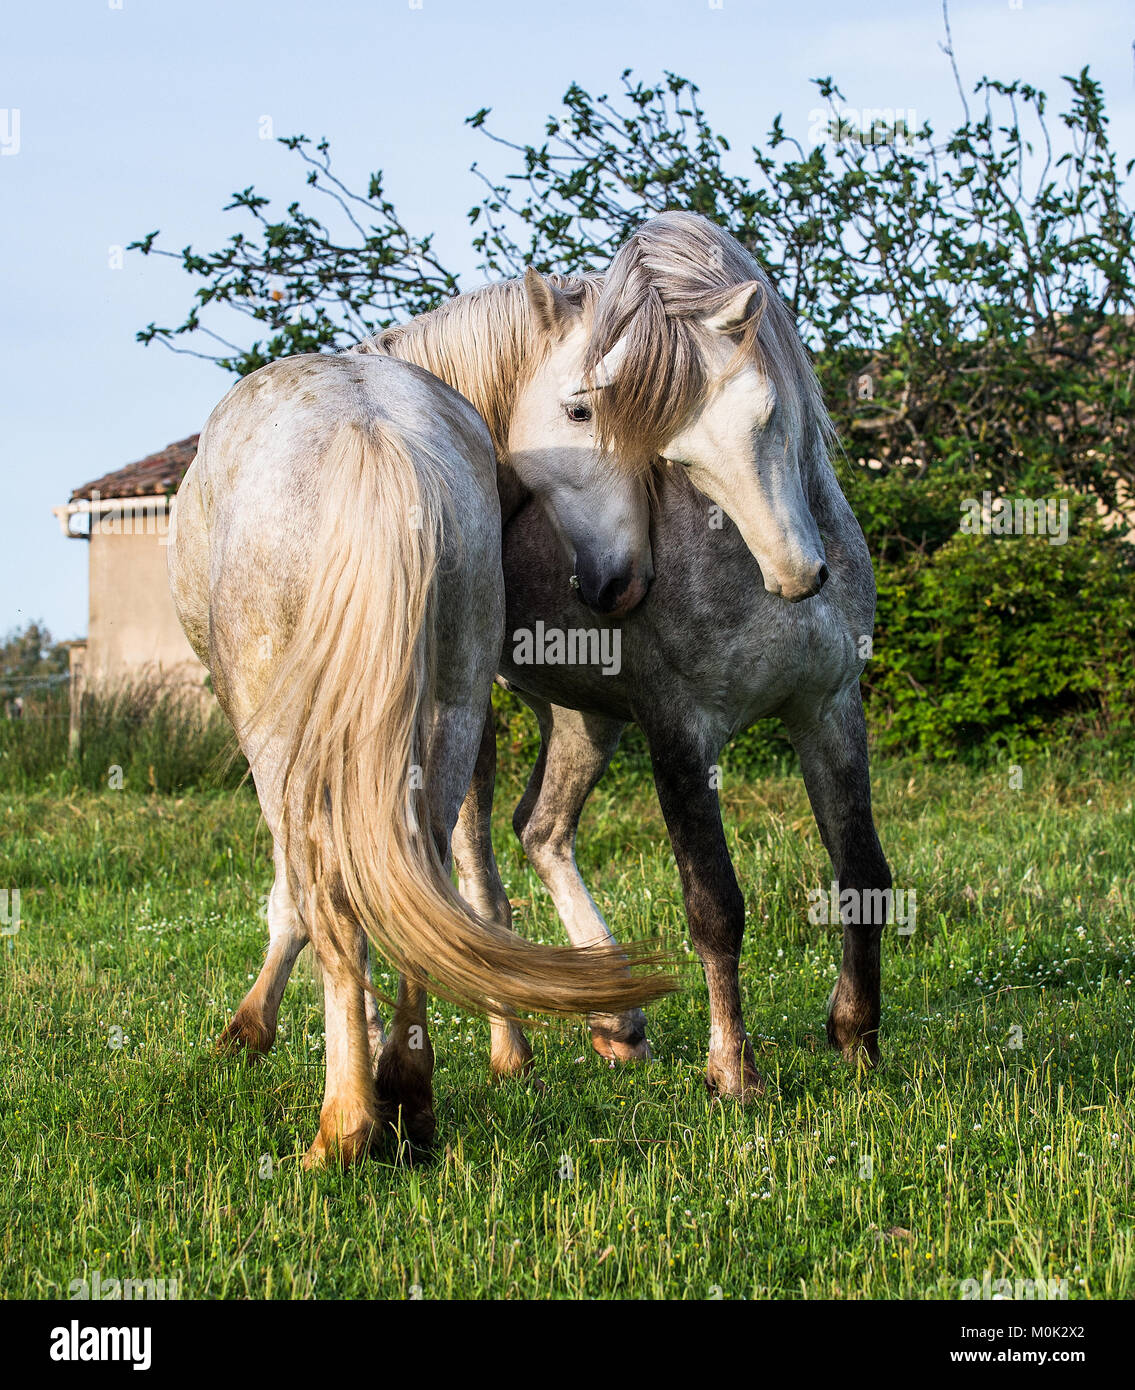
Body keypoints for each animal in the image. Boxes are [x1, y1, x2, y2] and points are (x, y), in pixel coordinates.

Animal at [168, 283, 674, 1168]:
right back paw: (409, 1094)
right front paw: (506, 1051)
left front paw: (250, 1028)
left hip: (285, 735)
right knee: (422, 867)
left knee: (335, 896)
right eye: (583, 409)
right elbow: (472, 885)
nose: (623, 582)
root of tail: (371, 437)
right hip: (452, 702)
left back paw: (346, 1123)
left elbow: (296, 896)